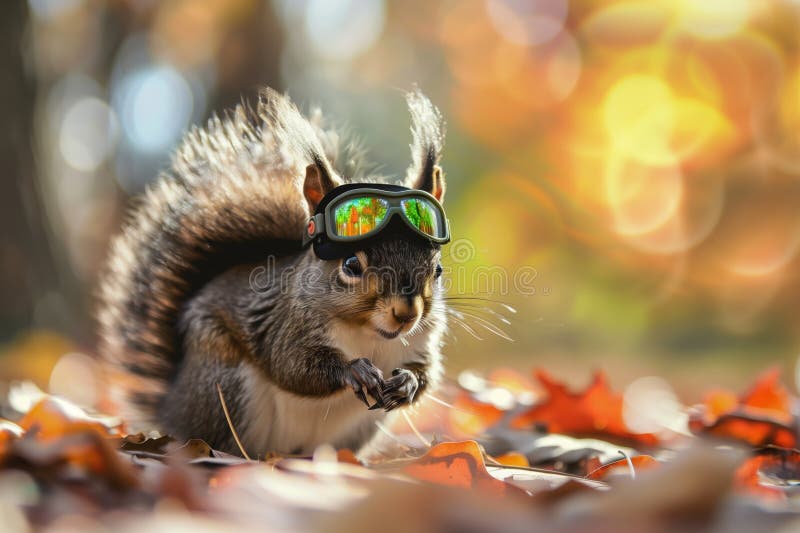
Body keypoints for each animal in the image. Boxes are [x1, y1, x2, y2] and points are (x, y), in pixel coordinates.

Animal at [97, 88, 449, 457]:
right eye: (351, 265)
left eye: (437, 269)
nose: (406, 314)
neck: (370, 334)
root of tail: (172, 409)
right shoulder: (283, 325)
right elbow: (291, 365)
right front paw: (356, 370)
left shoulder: (422, 341)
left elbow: (429, 372)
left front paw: (408, 383)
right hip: (224, 385)